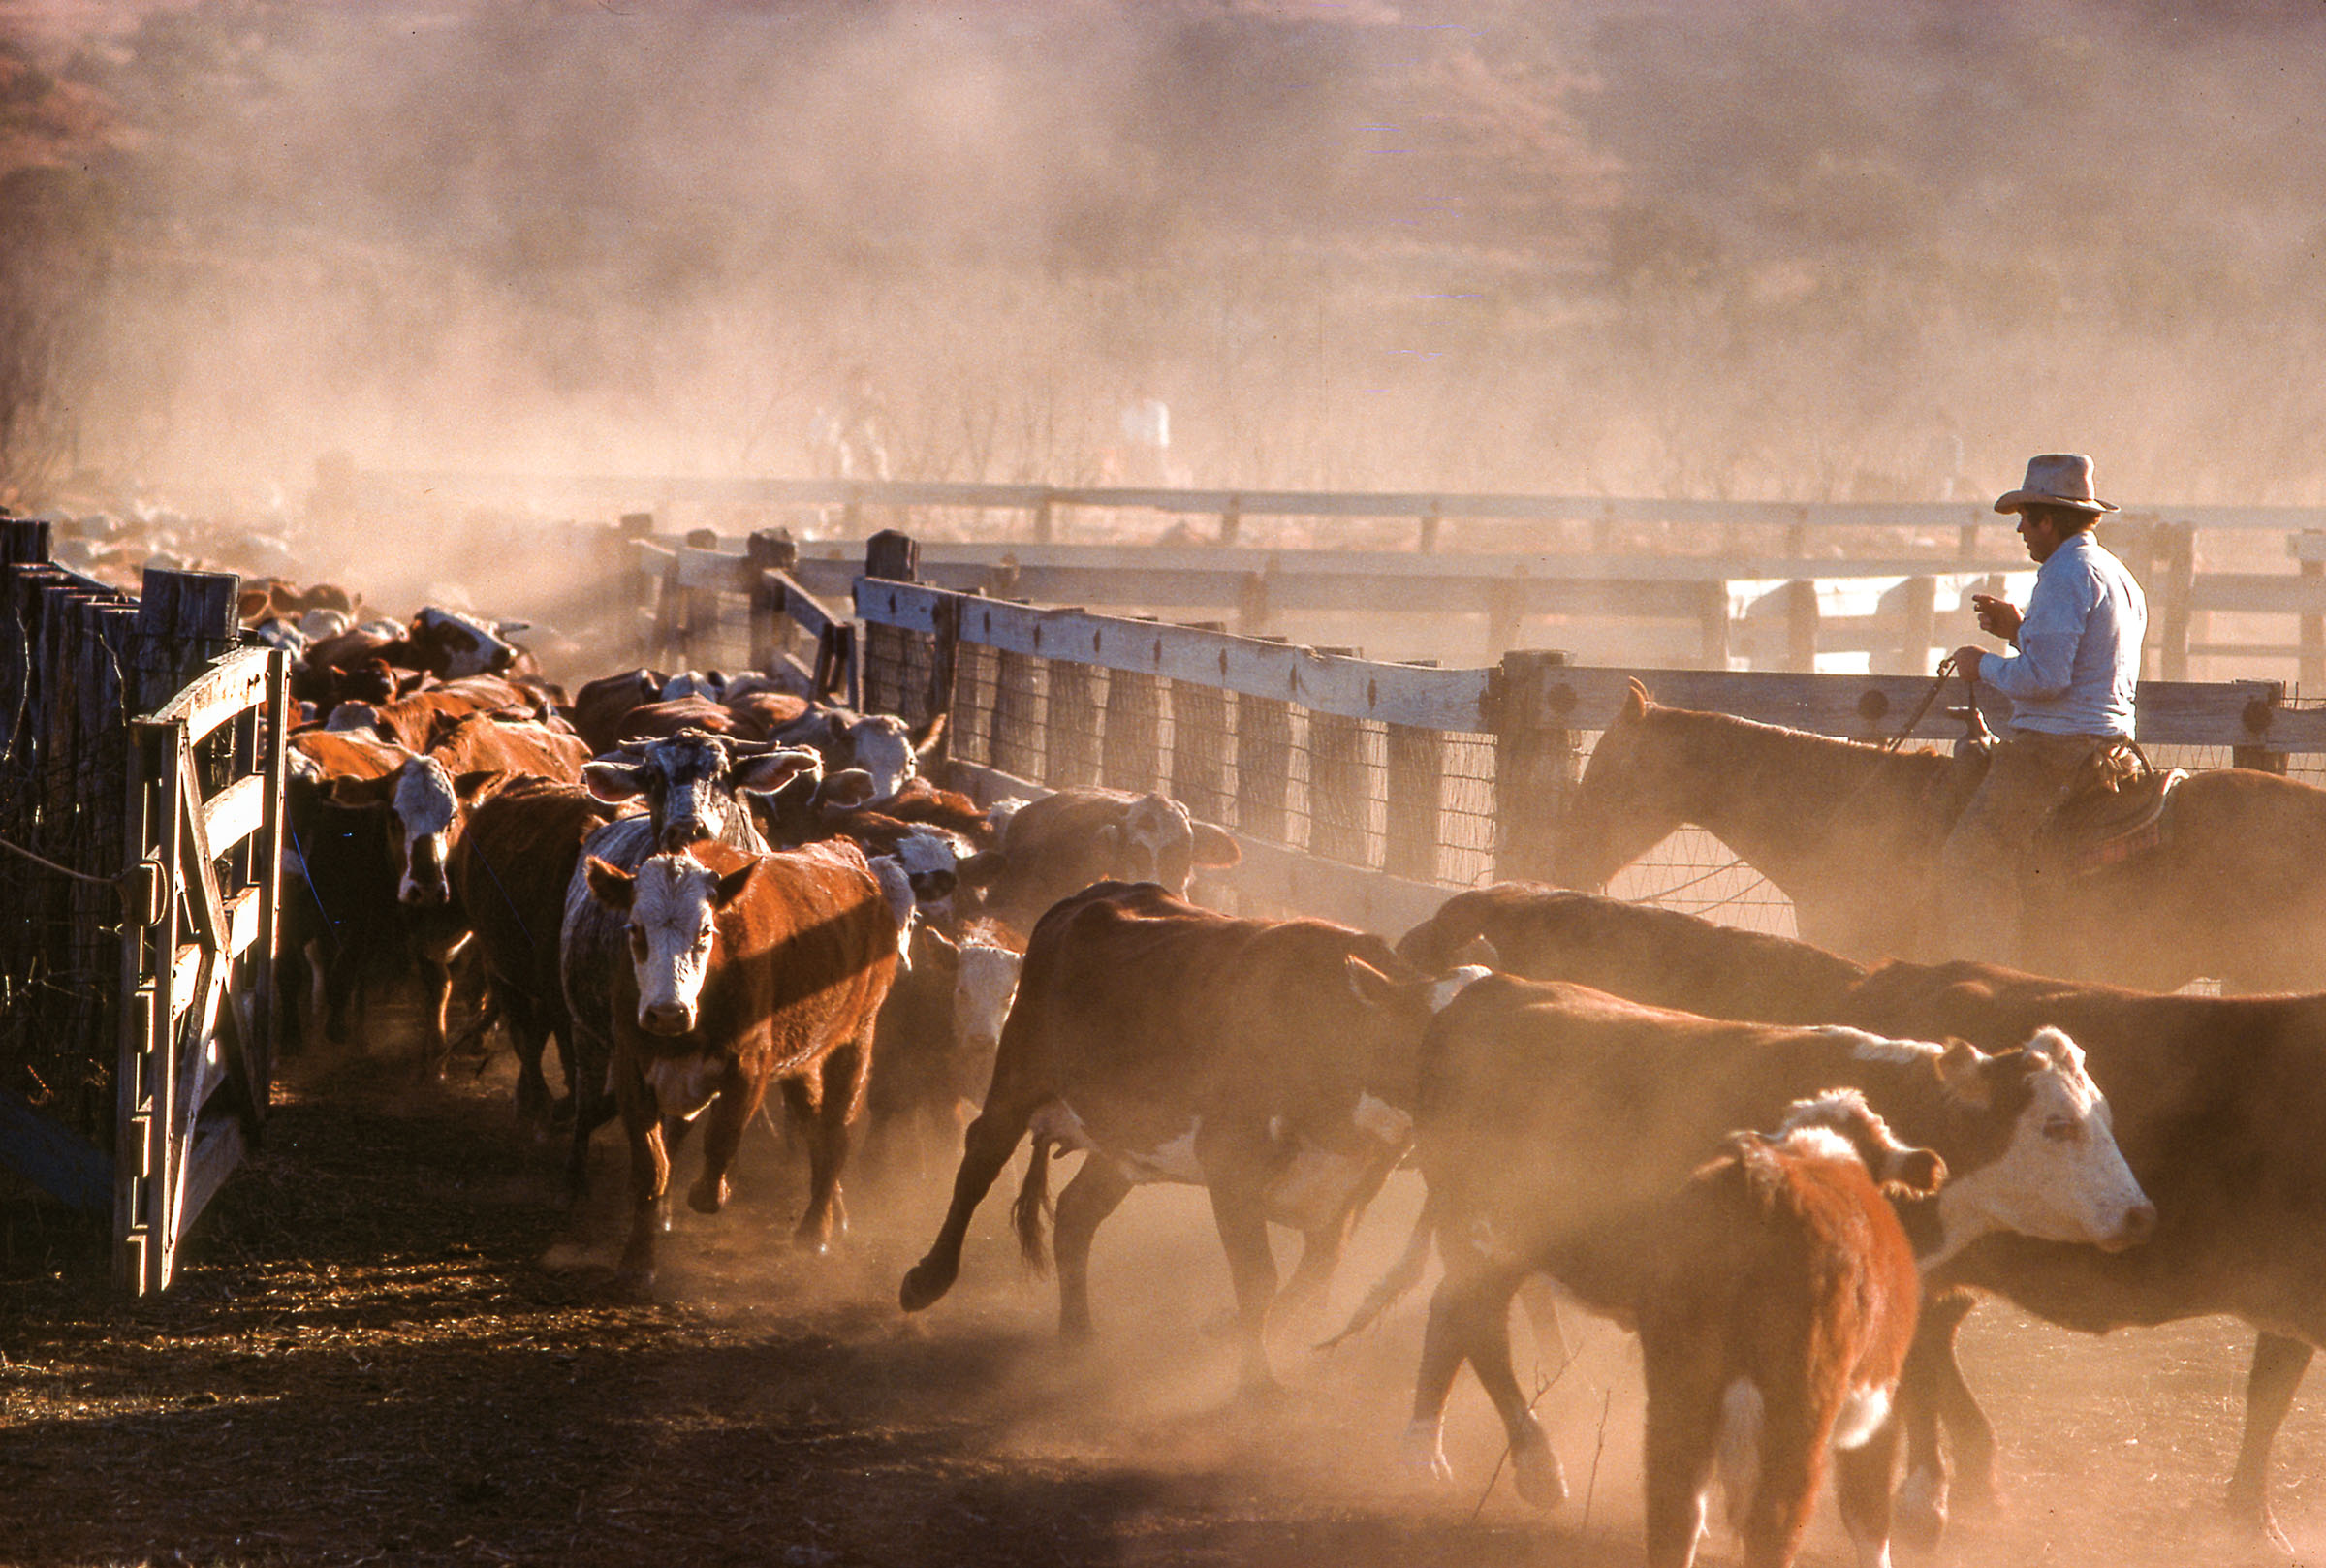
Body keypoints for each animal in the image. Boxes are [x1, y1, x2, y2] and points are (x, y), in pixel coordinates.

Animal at [578, 837, 903, 1284]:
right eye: (635, 930)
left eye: (705, 930)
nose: (667, 1013)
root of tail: (845, 850)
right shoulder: (632, 1066)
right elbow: (651, 1167)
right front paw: (638, 1260)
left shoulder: (750, 1064)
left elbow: (722, 1138)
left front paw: (707, 1193)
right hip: (803, 1060)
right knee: (814, 1127)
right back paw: (833, 1213)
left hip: (857, 1037)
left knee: (836, 1133)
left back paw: (815, 1231)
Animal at [899, 882, 1438, 1393]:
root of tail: (1085, 899)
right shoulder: (1230, 1166)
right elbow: (1258, 1278)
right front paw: (1257, 1381)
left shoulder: (1353, 1193)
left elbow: (1312, 1278)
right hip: (1019, 1075)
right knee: (980, 1159)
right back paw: (928, 1279)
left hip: (1124, 1142)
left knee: (1076, 1213)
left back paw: (1078, 1334)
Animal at [1351, 971, 2152, 1517]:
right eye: (2056, 1125)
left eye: (2106, 1118)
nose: (2140, 1215)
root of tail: (1488, 988)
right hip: (1486, 1225)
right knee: (1475, 1322)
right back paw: (1518, 1464)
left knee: (1454, 1314)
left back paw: (1434, 1449)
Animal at [1638, 1090, 1944, 1568]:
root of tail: (1761, 1180)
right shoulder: (1880, 1406)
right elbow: (1869, 1512)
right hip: (1803, 1404)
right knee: (1778, 1518)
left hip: (1678, 1390)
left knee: (1675, 1506)